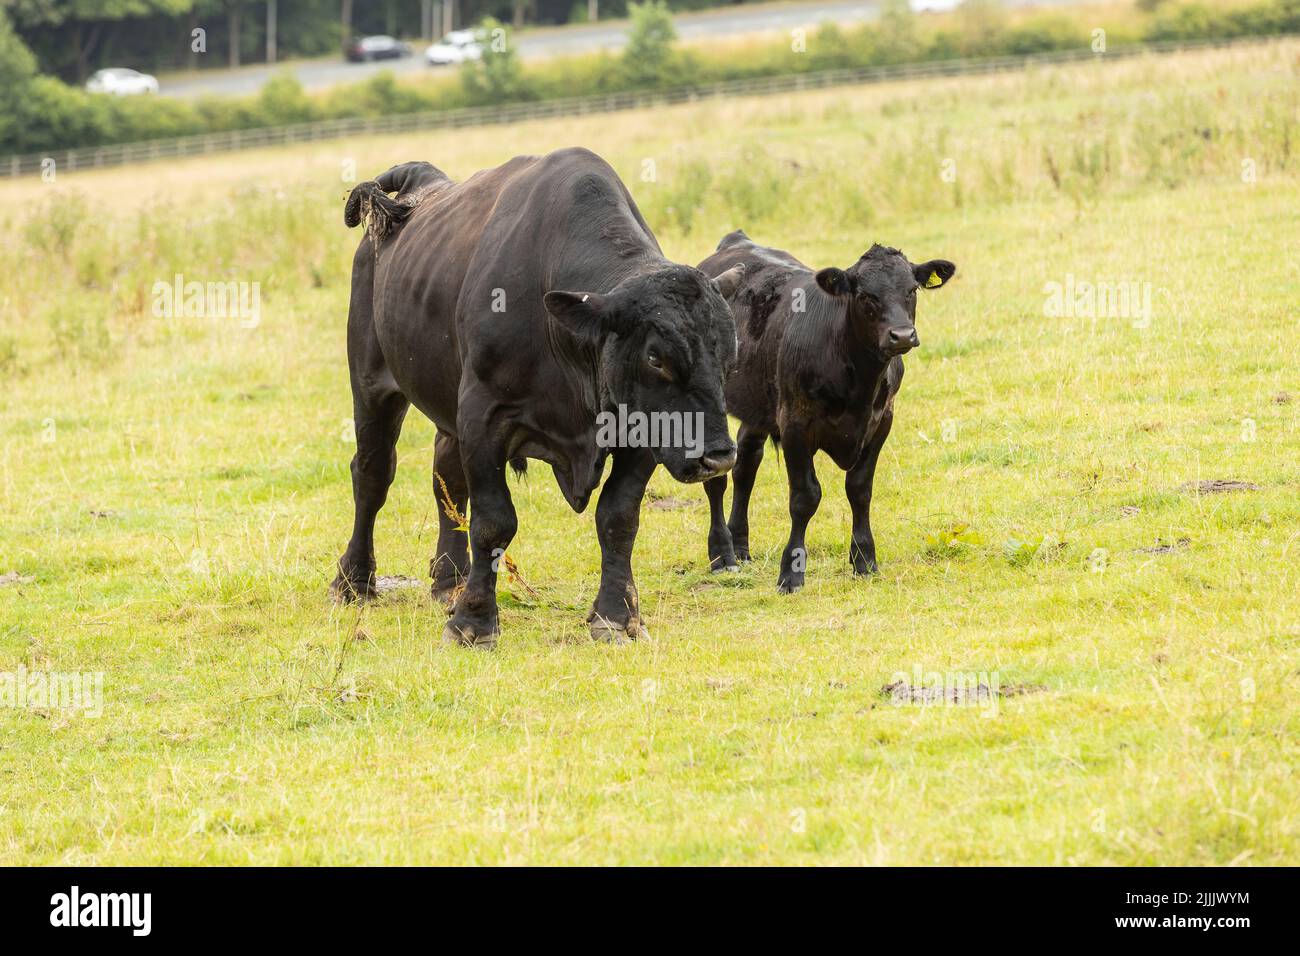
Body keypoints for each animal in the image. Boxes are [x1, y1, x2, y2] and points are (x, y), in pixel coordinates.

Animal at [331, 149, 745, 648]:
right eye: (656, 357)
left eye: (730, 352)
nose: (718, 457)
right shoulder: (484, 416)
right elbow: (494, 521)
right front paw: (473, 621)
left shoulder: (642, 434)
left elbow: (618, 517)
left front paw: (616, 615)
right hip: (372, 385)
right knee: (372, 475)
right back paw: (354, 580)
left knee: (446, 478)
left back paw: (450, 579)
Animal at [697, 230, 955, 592]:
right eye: (865, 295)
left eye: (911, 290)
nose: (902, 335)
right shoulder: (794, 422)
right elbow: (805, 497)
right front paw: (791, 571)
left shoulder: (882, 421)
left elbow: (859, 489)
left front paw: (864, 559)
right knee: (716, 477)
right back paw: (722, 554)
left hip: (759, 406)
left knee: (746, 465)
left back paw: (741, 546)